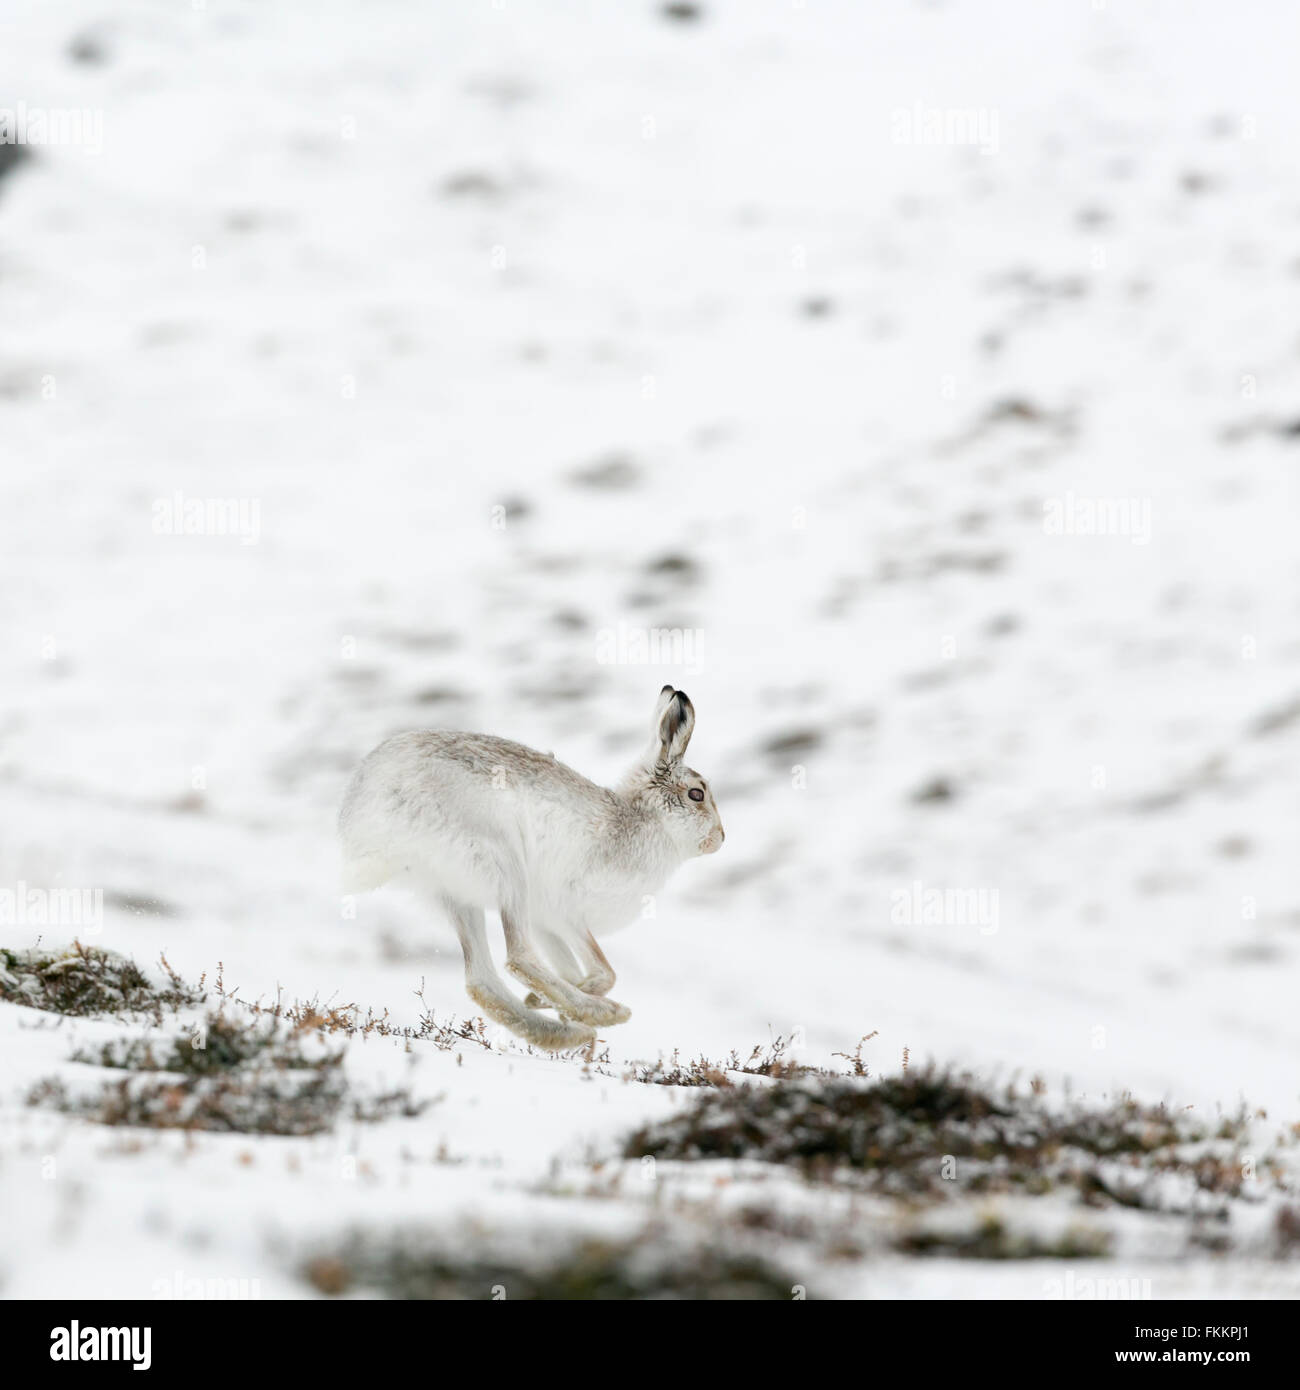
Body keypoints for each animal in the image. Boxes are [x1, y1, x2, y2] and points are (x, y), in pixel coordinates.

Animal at [338, 686, 724, 1050]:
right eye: (697, 795)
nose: (720, 839)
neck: (641, 820)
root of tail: (372, 817)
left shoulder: (547, 924)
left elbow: (577, 971)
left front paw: (553, 1006)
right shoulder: (566, 912)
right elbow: (605, 971)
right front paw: (554, 1000)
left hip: (455, 891)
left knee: (481, 980)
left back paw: (565, 1033)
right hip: (507, 862)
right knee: (518, 958)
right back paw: (605, 1014)